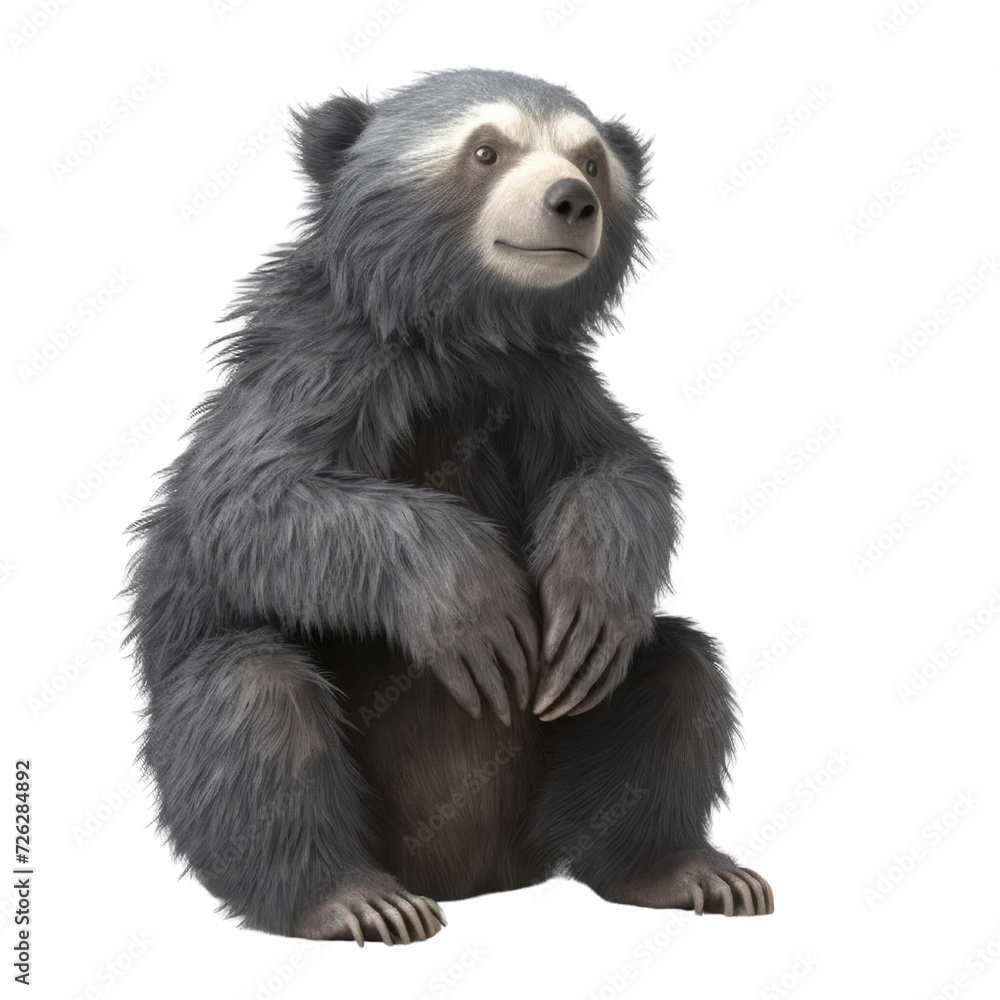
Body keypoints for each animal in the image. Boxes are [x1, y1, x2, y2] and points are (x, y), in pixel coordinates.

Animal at [125, 67, 773, 945]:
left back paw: (684, 869)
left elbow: (623, 469)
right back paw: (353, 898)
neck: (463, 340)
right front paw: (480, 610)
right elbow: (251, 502)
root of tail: (476, 877)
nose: (570, 201)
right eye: (486, 149)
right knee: (250, 699)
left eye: (590, 157)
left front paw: (587, 600)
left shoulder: (545, 385)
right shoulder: (326, 363)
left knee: (676, 676)